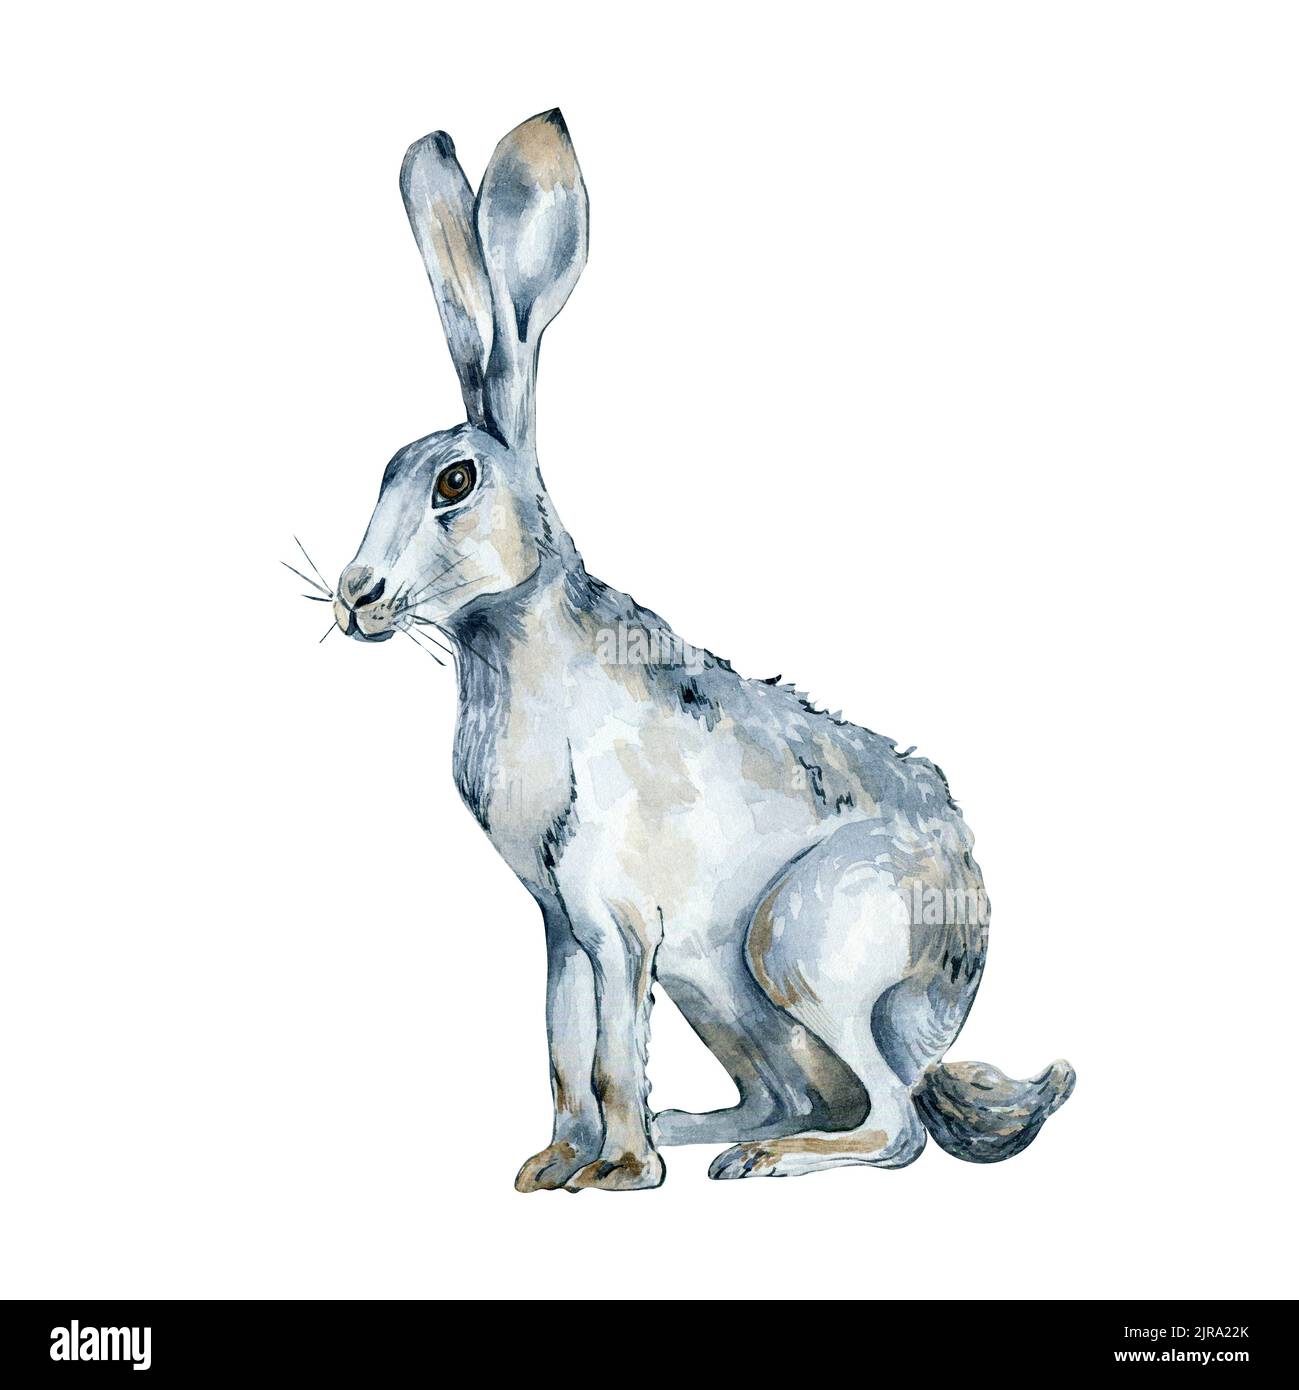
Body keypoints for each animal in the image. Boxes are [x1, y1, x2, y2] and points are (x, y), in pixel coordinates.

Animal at [327, 109, 1075, 1191]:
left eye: (454, 482)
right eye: (386, 470)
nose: (355, 597)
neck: (509, 634)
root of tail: (946, 996)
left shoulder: (616, 922)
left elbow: (607, 1052)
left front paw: (618, 1175)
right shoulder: (561, 927)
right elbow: (563, 1047)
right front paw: (551, 1166)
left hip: (796, 945)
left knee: (892, 1127)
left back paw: (761, 1158)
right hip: (722, 997)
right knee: (800, 1094)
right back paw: (705, 1130)